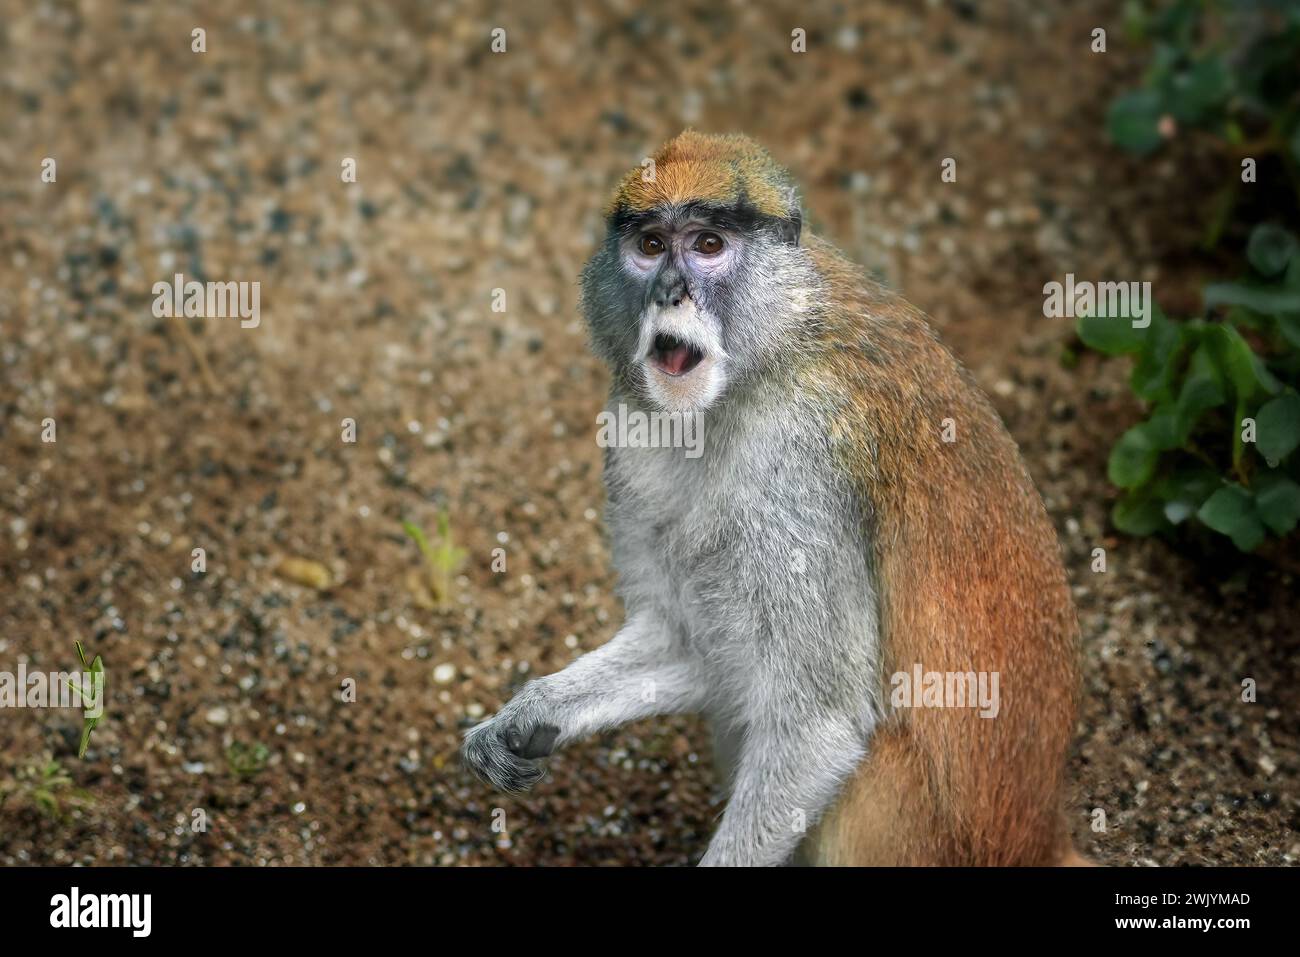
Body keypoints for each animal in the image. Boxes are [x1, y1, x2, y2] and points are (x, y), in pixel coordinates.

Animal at [462, 130, 1086, 867]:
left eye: (708, 244)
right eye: (649, 245)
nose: (669, 290)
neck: (774, 347)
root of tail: (1036, 838)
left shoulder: (799, 461)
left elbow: (817, 721)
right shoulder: (633, 430)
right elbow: (692, 643)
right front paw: (528, 714)